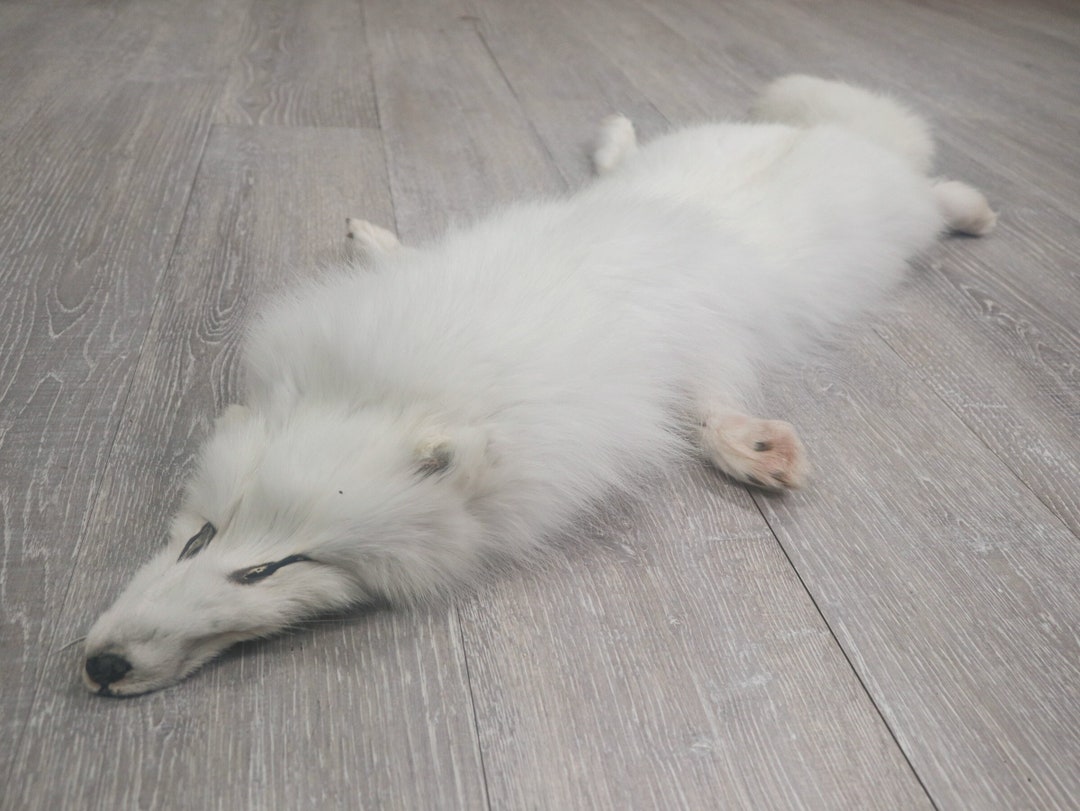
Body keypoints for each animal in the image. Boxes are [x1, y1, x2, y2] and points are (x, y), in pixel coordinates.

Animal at [82, 76, 995, 696]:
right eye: (199, 536)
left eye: (272, 569)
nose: (100, 663)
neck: (413, 382)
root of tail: (835, 137)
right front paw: (378, 239)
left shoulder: (692, 350)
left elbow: (710, 413)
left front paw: (758, 451)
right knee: (630, 155)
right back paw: (610, 135)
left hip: (903, 209)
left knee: (935, 188)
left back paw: (974, 207)